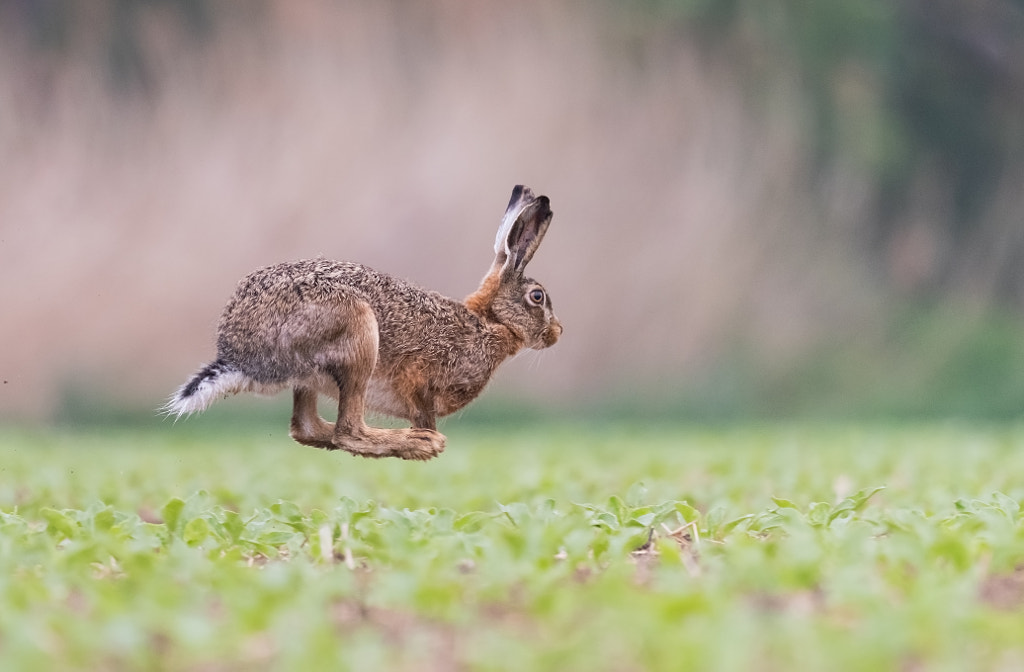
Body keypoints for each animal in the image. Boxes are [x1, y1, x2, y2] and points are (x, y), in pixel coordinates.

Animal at [164, 185, 561, 460]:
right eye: (537, 297)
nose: (557, 333)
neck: (490, 322)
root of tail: (240, 355)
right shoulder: (421, 379)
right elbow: (422, 408)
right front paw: (428, 440)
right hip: (358, 338)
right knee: (348, 431)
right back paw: (418, 443)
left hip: (312, 375)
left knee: (307, 428)